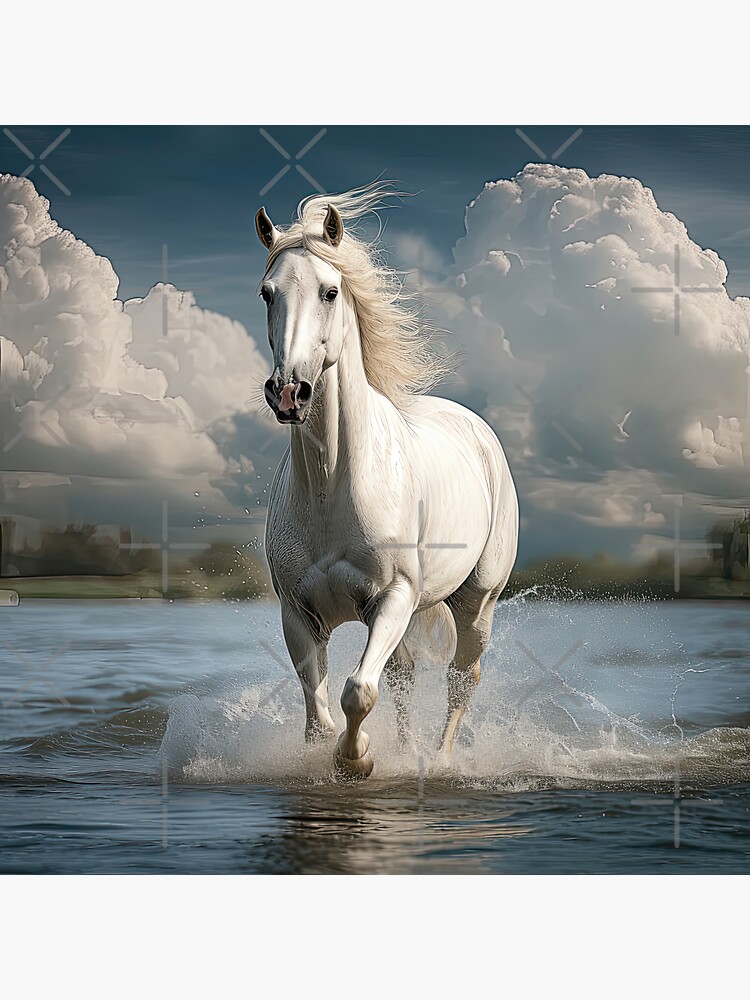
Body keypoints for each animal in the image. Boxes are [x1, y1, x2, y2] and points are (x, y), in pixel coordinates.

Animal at [255, 185, 518, 779]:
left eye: (330, 291)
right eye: (267, 294)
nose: (290, 393)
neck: (332, 485)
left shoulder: (393, 596)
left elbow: (358, 692)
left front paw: (357, 760)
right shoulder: (298, 613)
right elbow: (319, 709)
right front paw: (335, 754)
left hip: (477, 601)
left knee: (459, 679)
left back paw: (439, 759)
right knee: (403, 677)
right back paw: (408, 749)